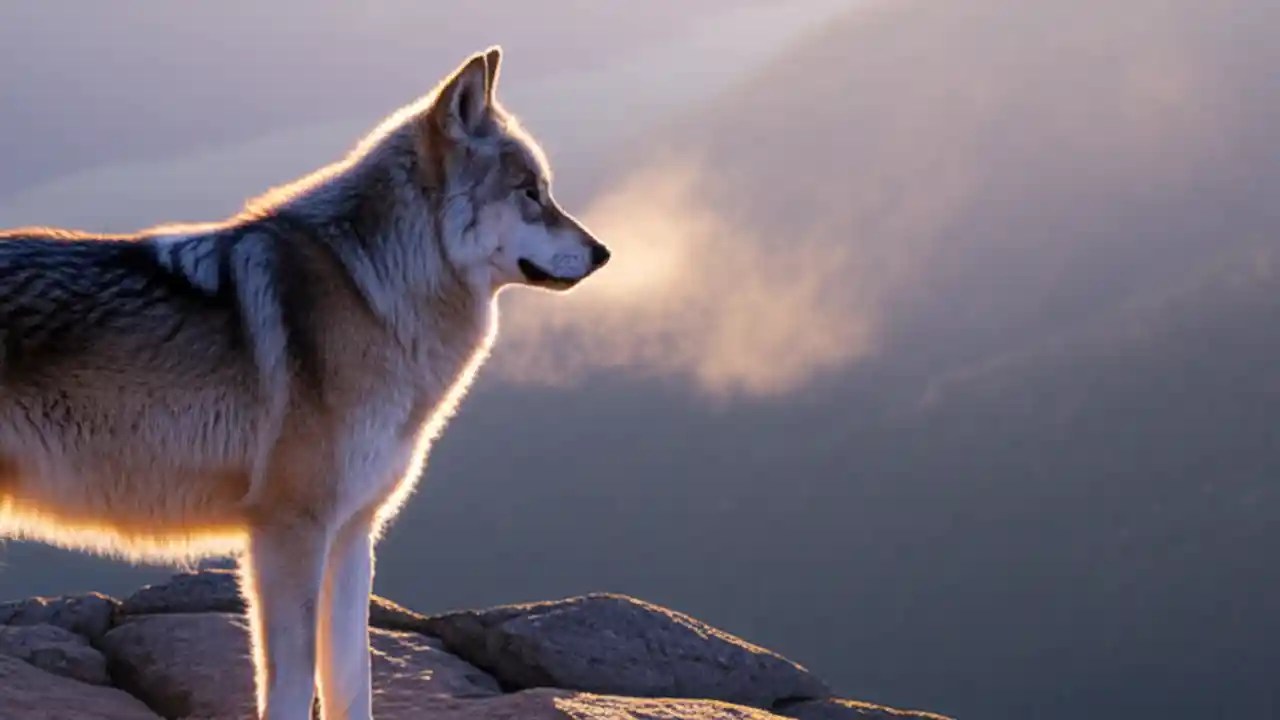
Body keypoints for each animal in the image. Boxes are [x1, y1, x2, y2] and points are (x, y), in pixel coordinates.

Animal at [0, 47, 609, 719]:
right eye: (531, 193)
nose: (604, 253)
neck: (374, 291)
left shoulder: (351, 536)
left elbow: (352, 680)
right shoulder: (288, 535)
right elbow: (293, 686)